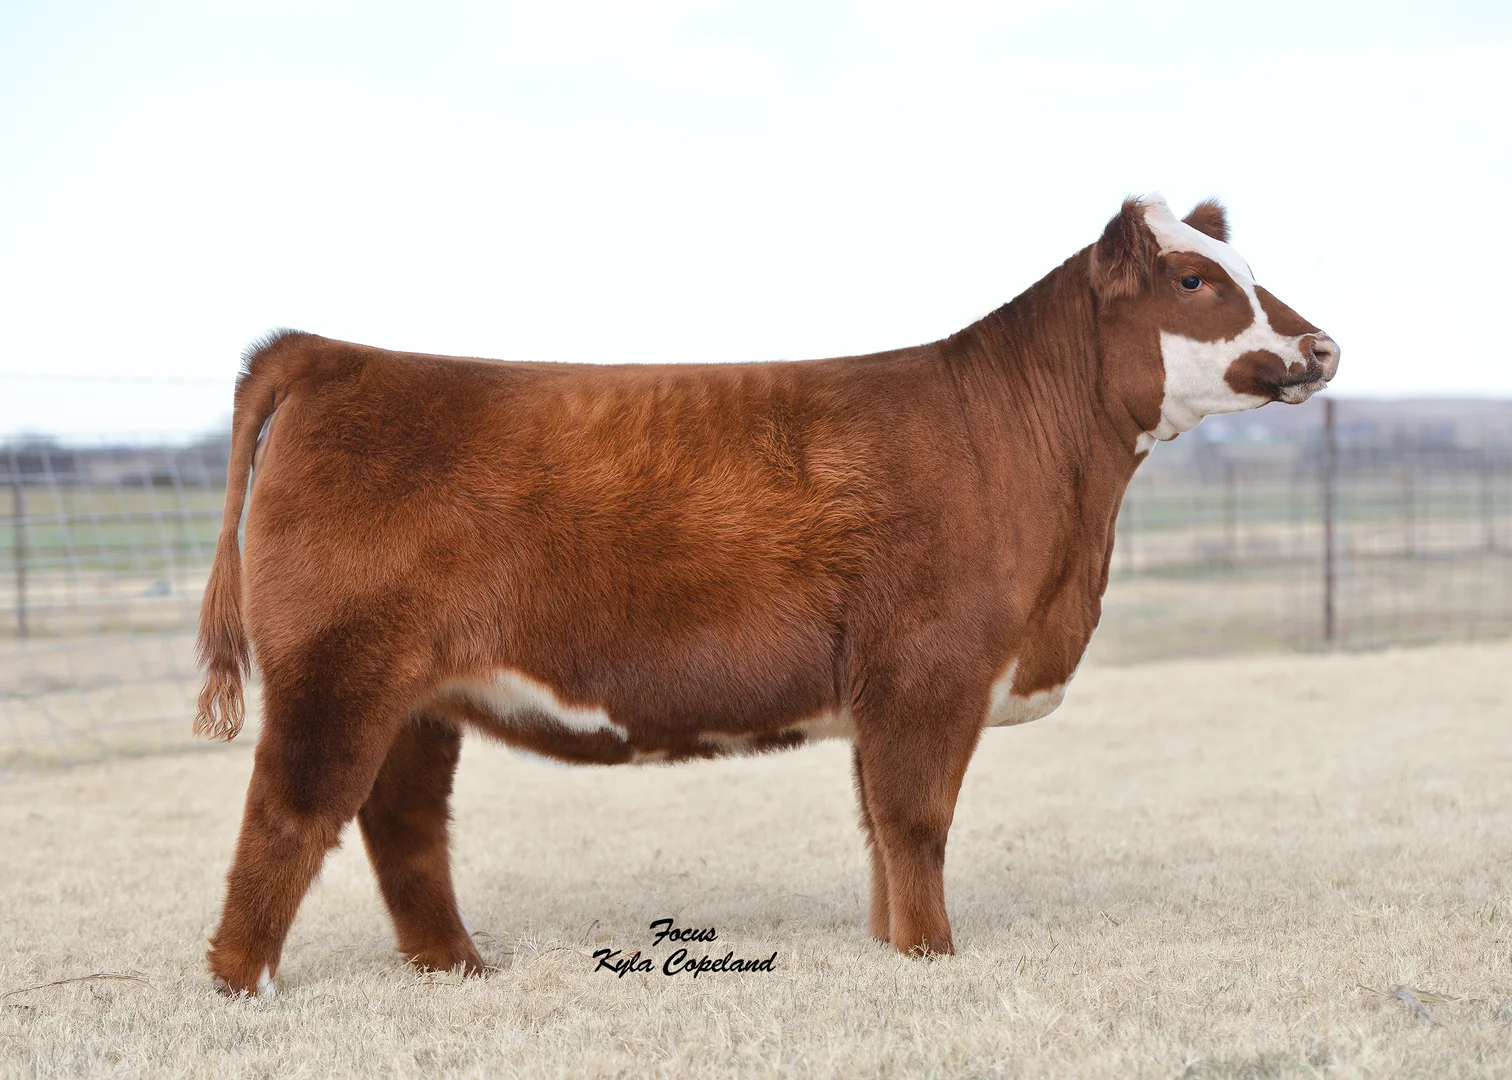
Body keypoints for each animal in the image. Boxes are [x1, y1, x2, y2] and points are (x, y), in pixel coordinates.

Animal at [195, 195, 1338, 996]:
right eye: (1192, 279)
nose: (1322, 346)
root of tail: (330, 354)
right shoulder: (931, 669)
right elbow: (917, 816)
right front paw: (934, 955)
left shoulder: (883, 691)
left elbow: (878, 822)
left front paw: (890, 944)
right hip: (339, 670)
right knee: (292, 809)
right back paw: (243, 985)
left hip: (420, 696)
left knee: (403, 824)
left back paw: (458, 968)